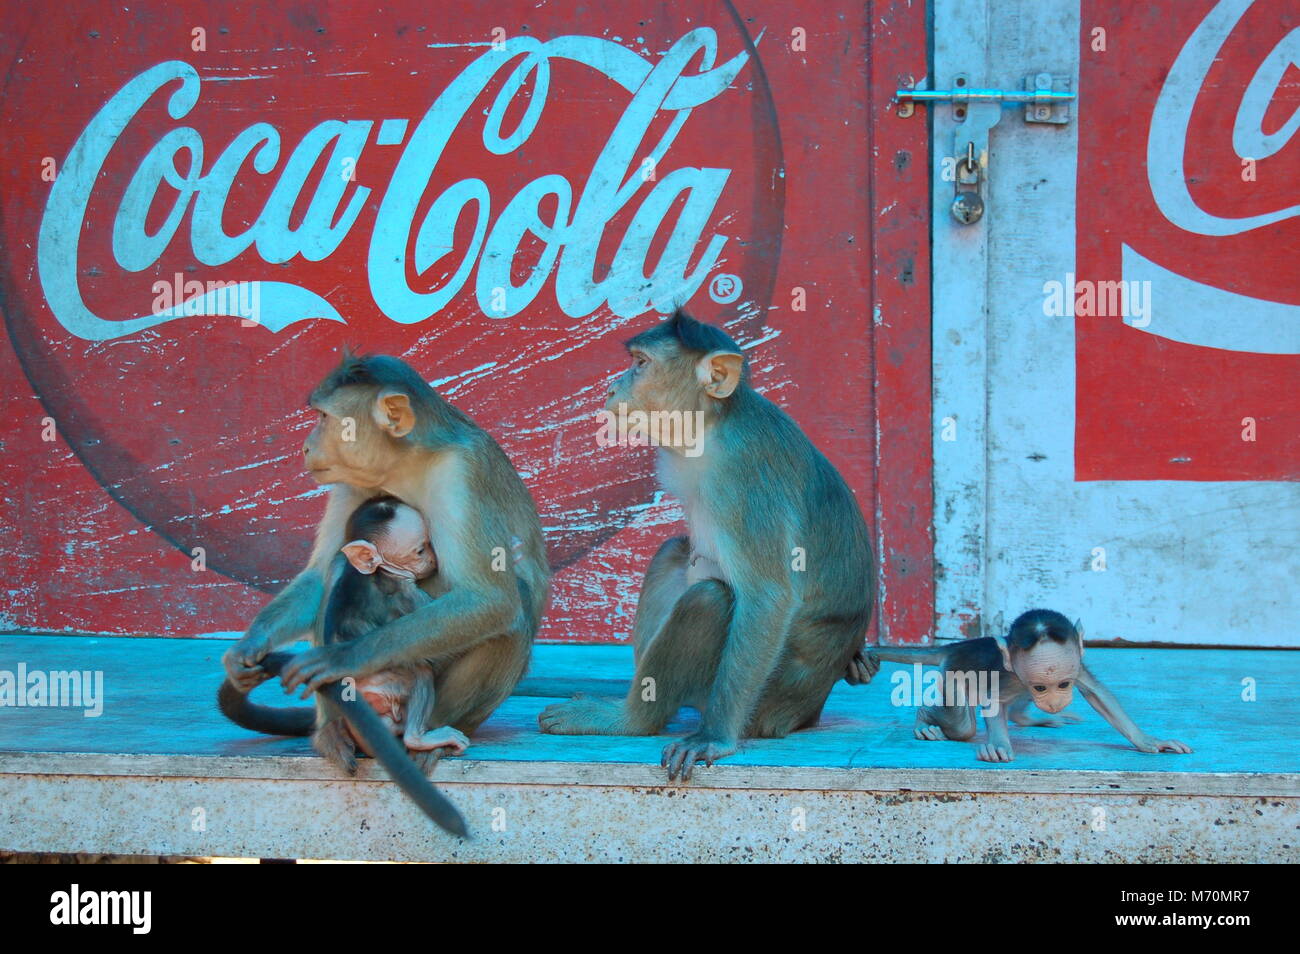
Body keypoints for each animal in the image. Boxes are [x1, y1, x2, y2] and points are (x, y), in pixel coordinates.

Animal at [221, 350, 550, 778]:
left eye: (323, 417)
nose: (307, 446)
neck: (407, 462)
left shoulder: (463, 472)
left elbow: (491, 598)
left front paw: (344, 657)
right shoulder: (354, 480)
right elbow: (320, 574)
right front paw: (250, 644)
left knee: (514, 607)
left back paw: (421, 738)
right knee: (338, 571)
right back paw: (334, 730)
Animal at [538, 308, 875, 781]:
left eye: (640, 364)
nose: (611, 387)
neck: (713, 425)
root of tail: (804, 714)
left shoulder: (745, 480)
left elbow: (768, 597)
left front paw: (713, 737)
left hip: (767, 701)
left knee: (709, 600)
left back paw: (632, 720)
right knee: (673, 553)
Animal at [860, 608, 1193, 763]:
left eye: (1063, 684)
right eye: (1041, 687)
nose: (1054, 702)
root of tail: (957, 646)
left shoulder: (1077, 666)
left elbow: (1098, 695)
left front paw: (1147, 740)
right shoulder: (1012, 678)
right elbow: (993, 704)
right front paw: (999, 746)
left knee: (1013, 711)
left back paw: (1032, 718)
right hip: (952, 674)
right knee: (963, 724)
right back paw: (924, 720)